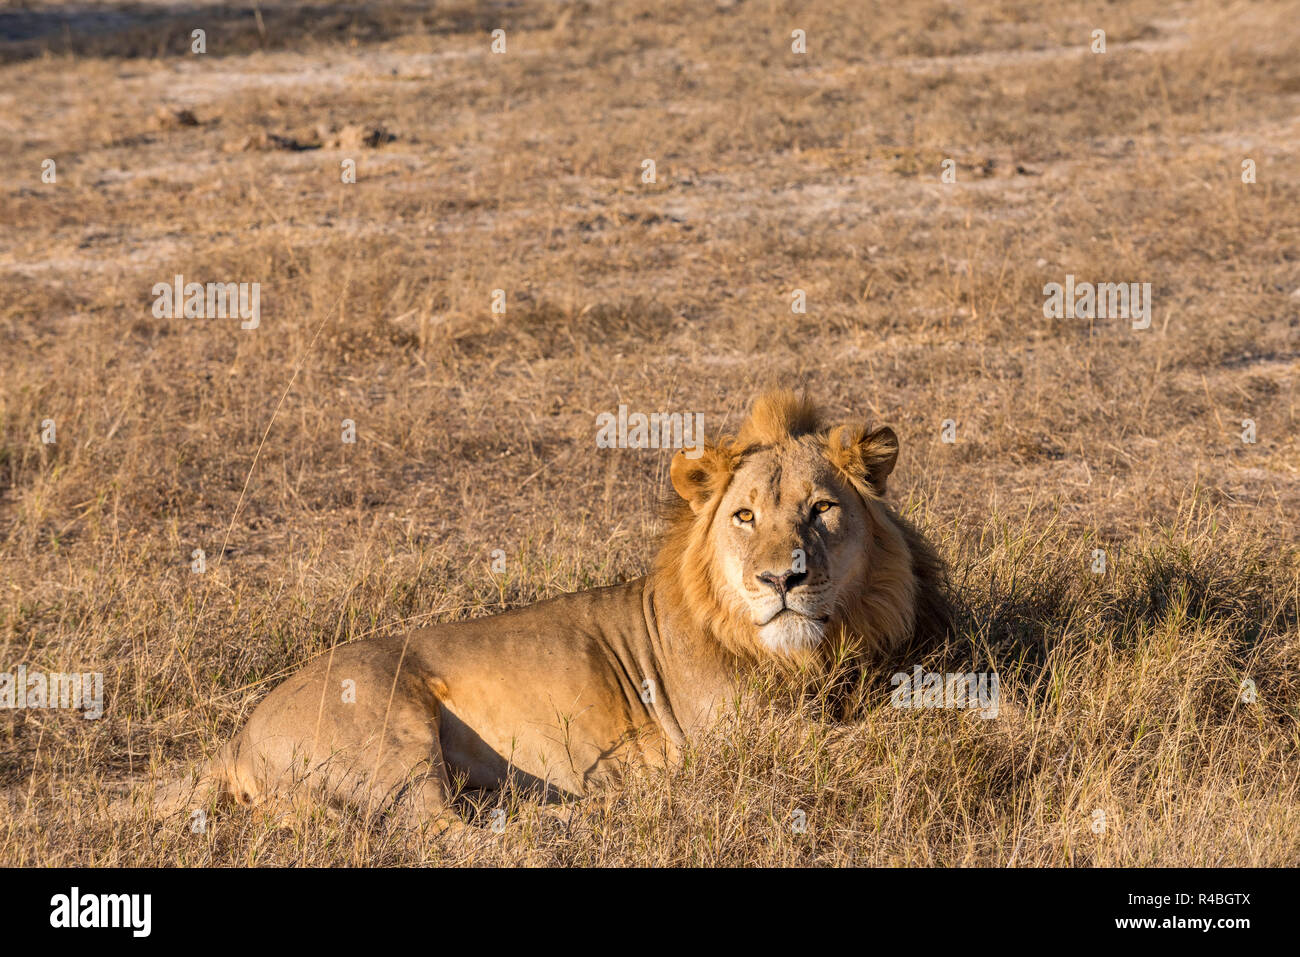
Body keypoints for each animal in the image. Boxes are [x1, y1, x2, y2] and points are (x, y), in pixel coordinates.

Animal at [134, 390, 949, 831]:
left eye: (821, 509)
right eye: (745, 516)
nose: (782, 579)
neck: (821, 646)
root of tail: (237, 737)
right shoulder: (744, 741)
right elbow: (882, 739)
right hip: (391, 731)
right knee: (435, 835)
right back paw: (587, 813)